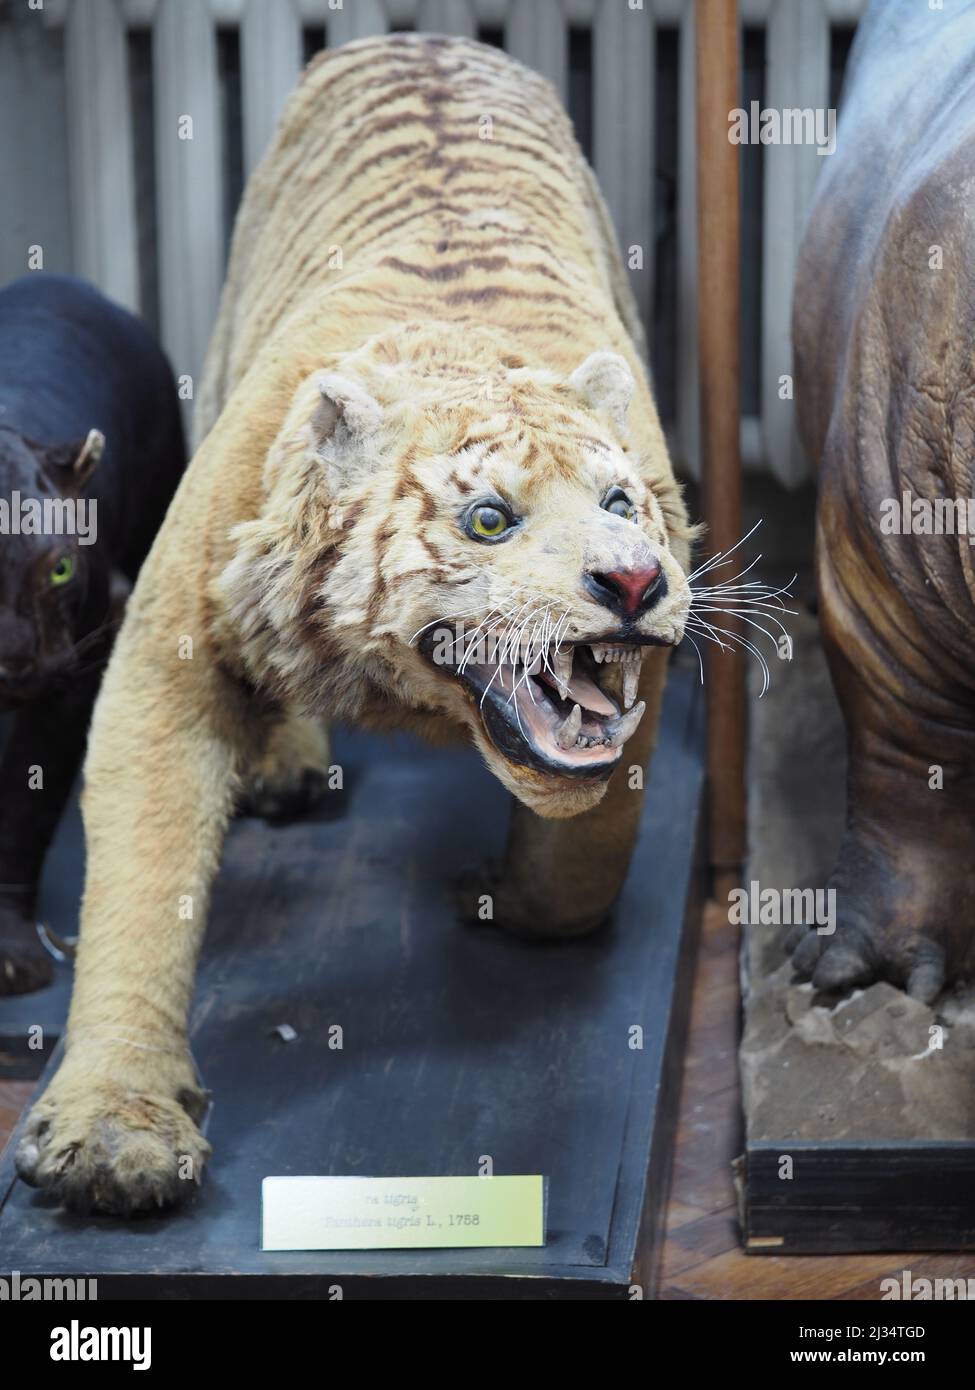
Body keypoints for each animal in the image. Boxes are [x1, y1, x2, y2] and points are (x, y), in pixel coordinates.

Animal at [16, 33, 695, 1215]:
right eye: (488, 519)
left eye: (620, 501)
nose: (634, 579)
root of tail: (430, 39)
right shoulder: (167, 654)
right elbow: (142, 885)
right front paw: (114, 1137)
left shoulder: (634, 696)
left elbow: (589, 845)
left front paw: (512, 898)